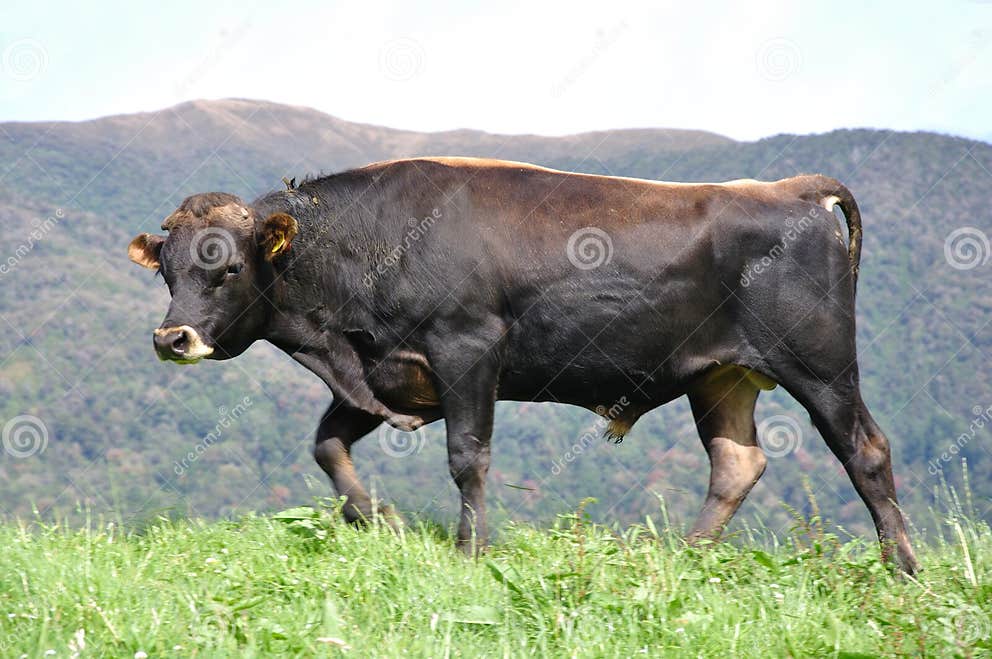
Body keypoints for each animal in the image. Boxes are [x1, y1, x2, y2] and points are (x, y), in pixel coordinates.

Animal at [127, 157, 918, 574]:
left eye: (227, 267)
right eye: (167, 268)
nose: (172, 338)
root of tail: (791, 187)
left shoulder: (468, 348)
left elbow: (467, 457)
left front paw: (471, 550)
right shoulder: (386, 373)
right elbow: (326, 444)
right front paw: (379, 518)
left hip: (820, 364)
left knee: (866, 450)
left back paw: (901, 567)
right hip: (719, 376)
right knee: (736, 463)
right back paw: (685, 559)